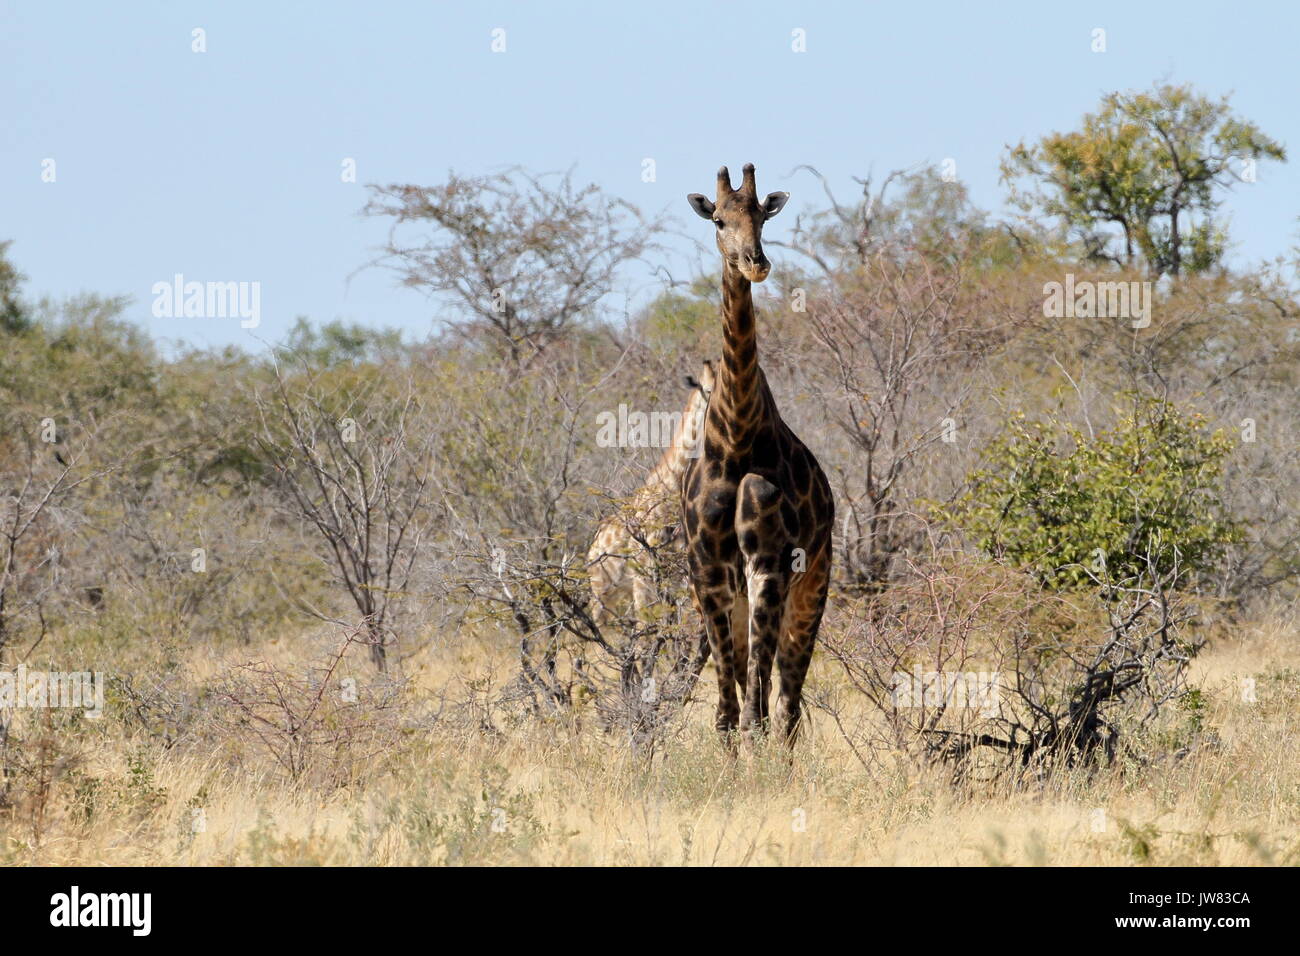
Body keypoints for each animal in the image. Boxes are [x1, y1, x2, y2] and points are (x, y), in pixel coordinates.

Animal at [588, 360, 716, 626]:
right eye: (708, 390)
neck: (669, 487)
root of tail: (590, 550)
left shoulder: (679, 567)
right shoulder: (644, 570)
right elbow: (648, 623)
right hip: (601, 590)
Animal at [681, 164, 834, 747]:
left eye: (763, 217)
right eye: (718, 220)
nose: (756, 262)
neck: (735, 439)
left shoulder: (769, 564)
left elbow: (754, 712)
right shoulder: (707, 571)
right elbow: (726, 710)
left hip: (813, 582)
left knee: (786, 703)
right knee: (762, 696)